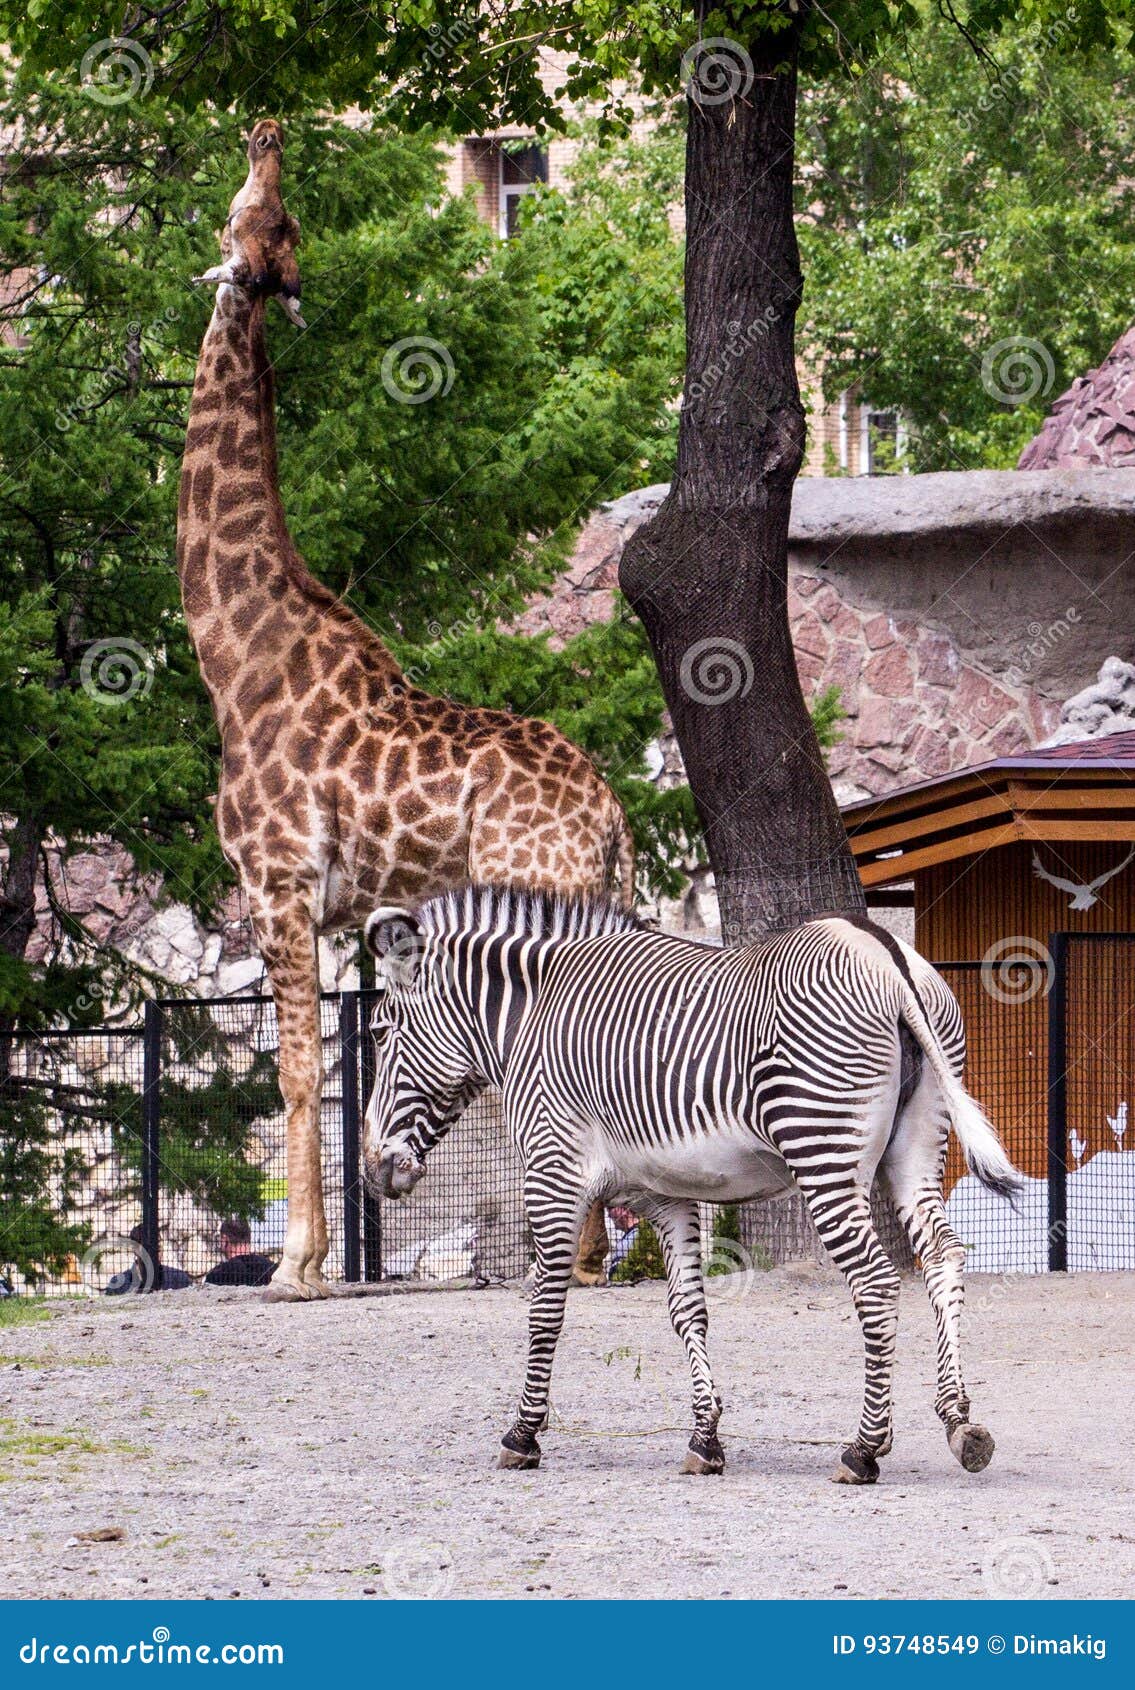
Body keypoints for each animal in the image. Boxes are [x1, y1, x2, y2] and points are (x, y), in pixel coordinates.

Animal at [361, 884, 1020, 1484]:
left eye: (377, 1033)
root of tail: (884, 950)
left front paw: (522, 1435)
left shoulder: (553, 1170)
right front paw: (705, 1439)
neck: (530, 1016)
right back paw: (960, 1421)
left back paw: (863, 1448)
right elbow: (688, 1310)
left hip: (823, 1152)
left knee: (878, 1283)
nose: (373, 1171)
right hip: (917, 1149)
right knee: (942, 1256)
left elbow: (545, 1304)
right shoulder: (665, 1192)